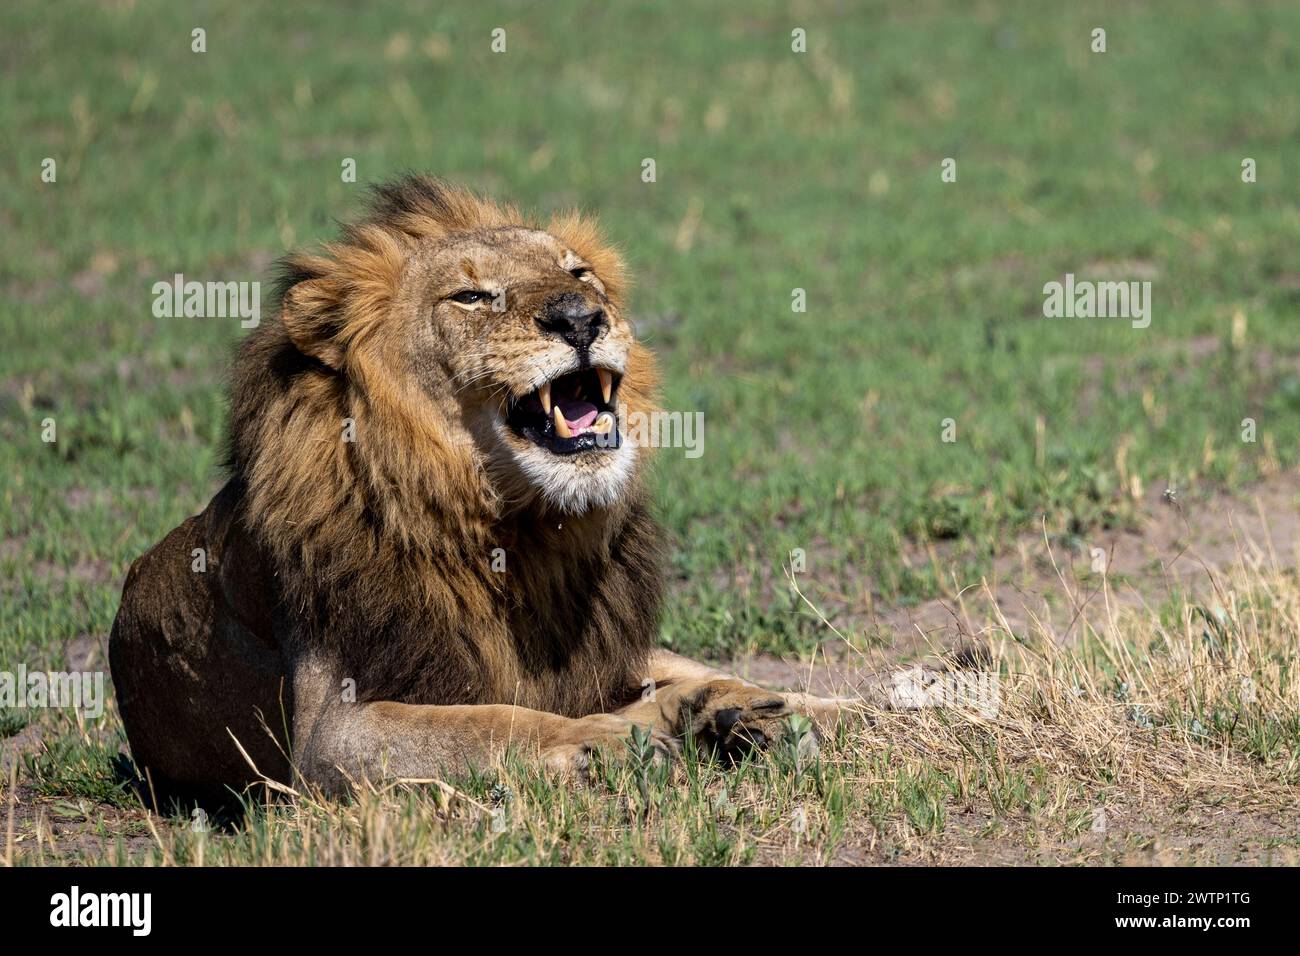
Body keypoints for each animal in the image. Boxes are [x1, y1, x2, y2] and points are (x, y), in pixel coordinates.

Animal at [108, 175, 897, 803]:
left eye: (581, 273)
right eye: (471, 296)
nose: (581, 317)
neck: (518, 528)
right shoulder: (330, 735)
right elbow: (490, 722)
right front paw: (609, 740)